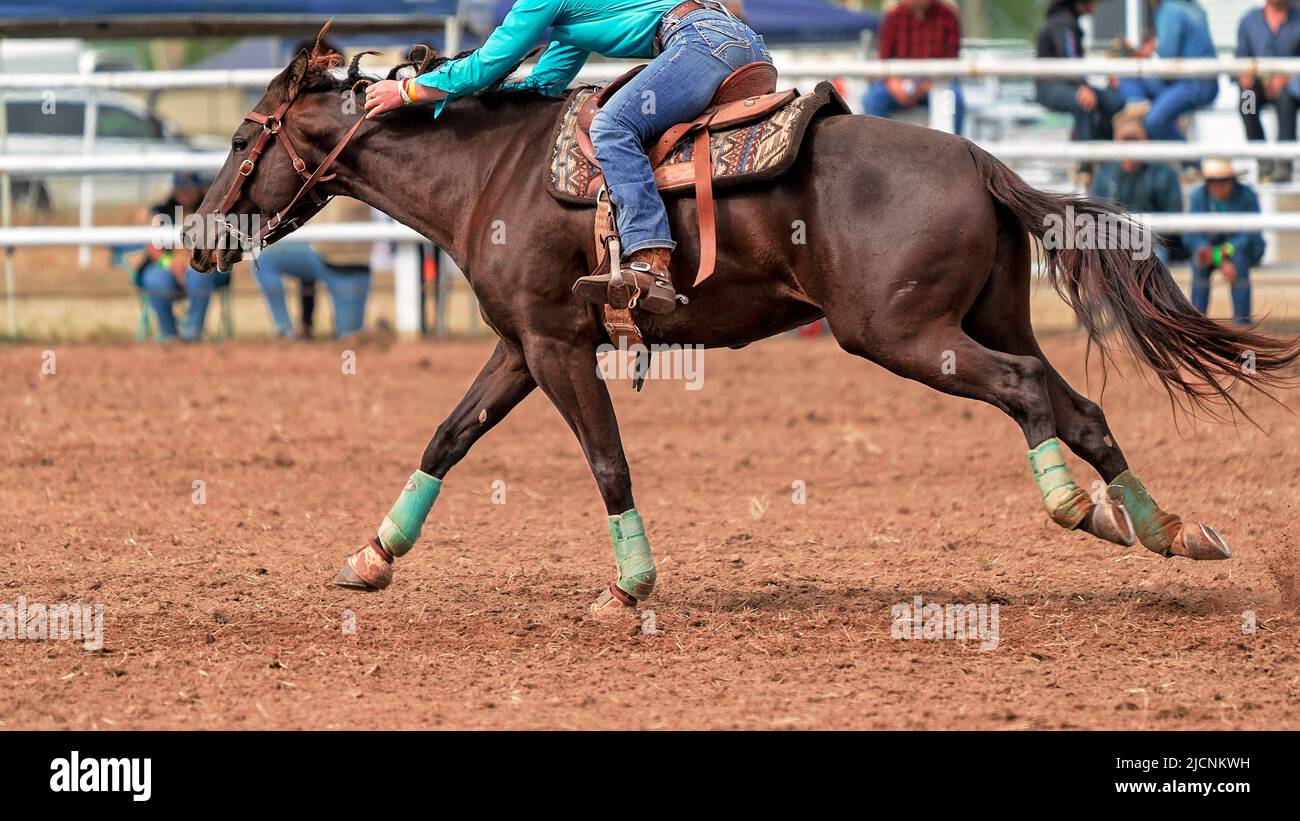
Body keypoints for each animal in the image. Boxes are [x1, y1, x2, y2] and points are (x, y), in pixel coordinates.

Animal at [188, 39, 1300, 613]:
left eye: (243, 136)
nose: (197, 236)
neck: (489, 172)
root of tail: (979, 160)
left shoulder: (557, 347)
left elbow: (605, 460)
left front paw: (630, 587)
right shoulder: (520, 346)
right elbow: (448, 436)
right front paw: (373, 554)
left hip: (901, 333)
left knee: (1031, 396)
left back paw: (1080, 509)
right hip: (987, 318)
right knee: (1079, 407)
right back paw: (1164, 527)